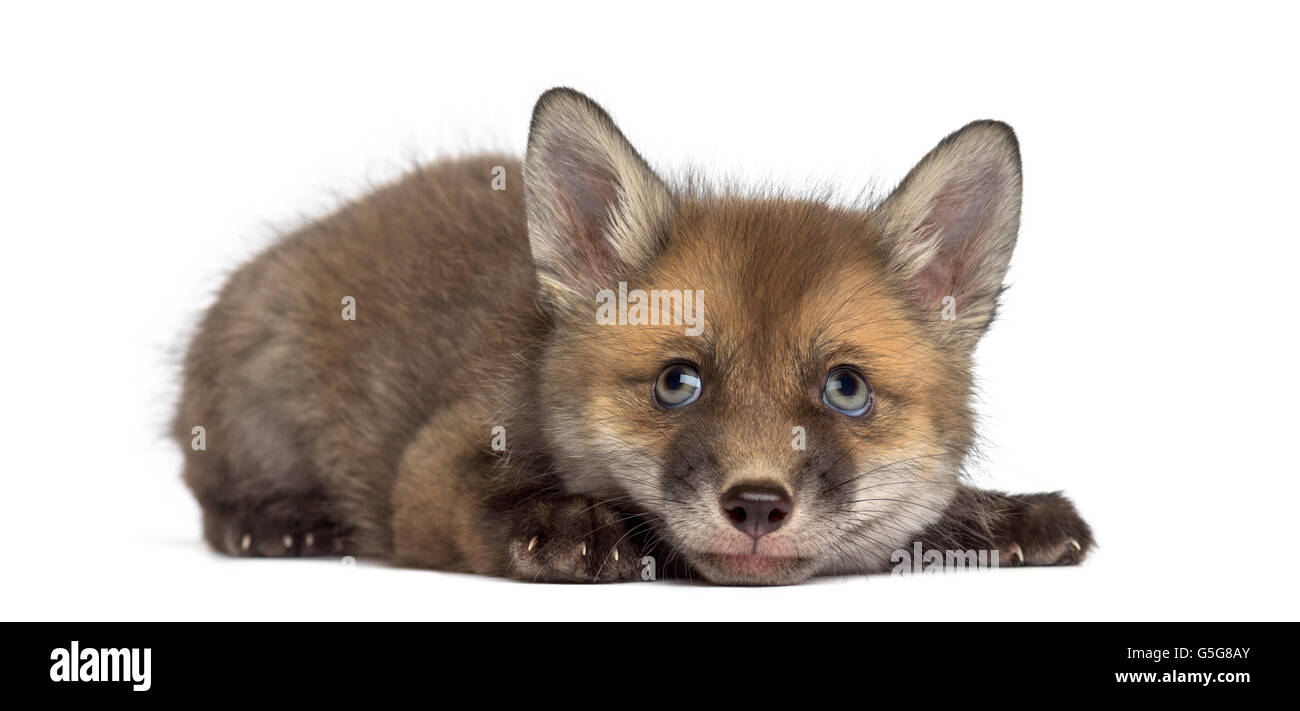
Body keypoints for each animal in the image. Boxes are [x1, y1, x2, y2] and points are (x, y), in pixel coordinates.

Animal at [173, 87, 1093, 585]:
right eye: (677, 382)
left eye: (847, 389)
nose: (757, 505)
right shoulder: (428, 470)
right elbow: (486, 497)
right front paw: (572, 525)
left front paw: (1003, 515)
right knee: (210, 495)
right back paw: (277, 520)